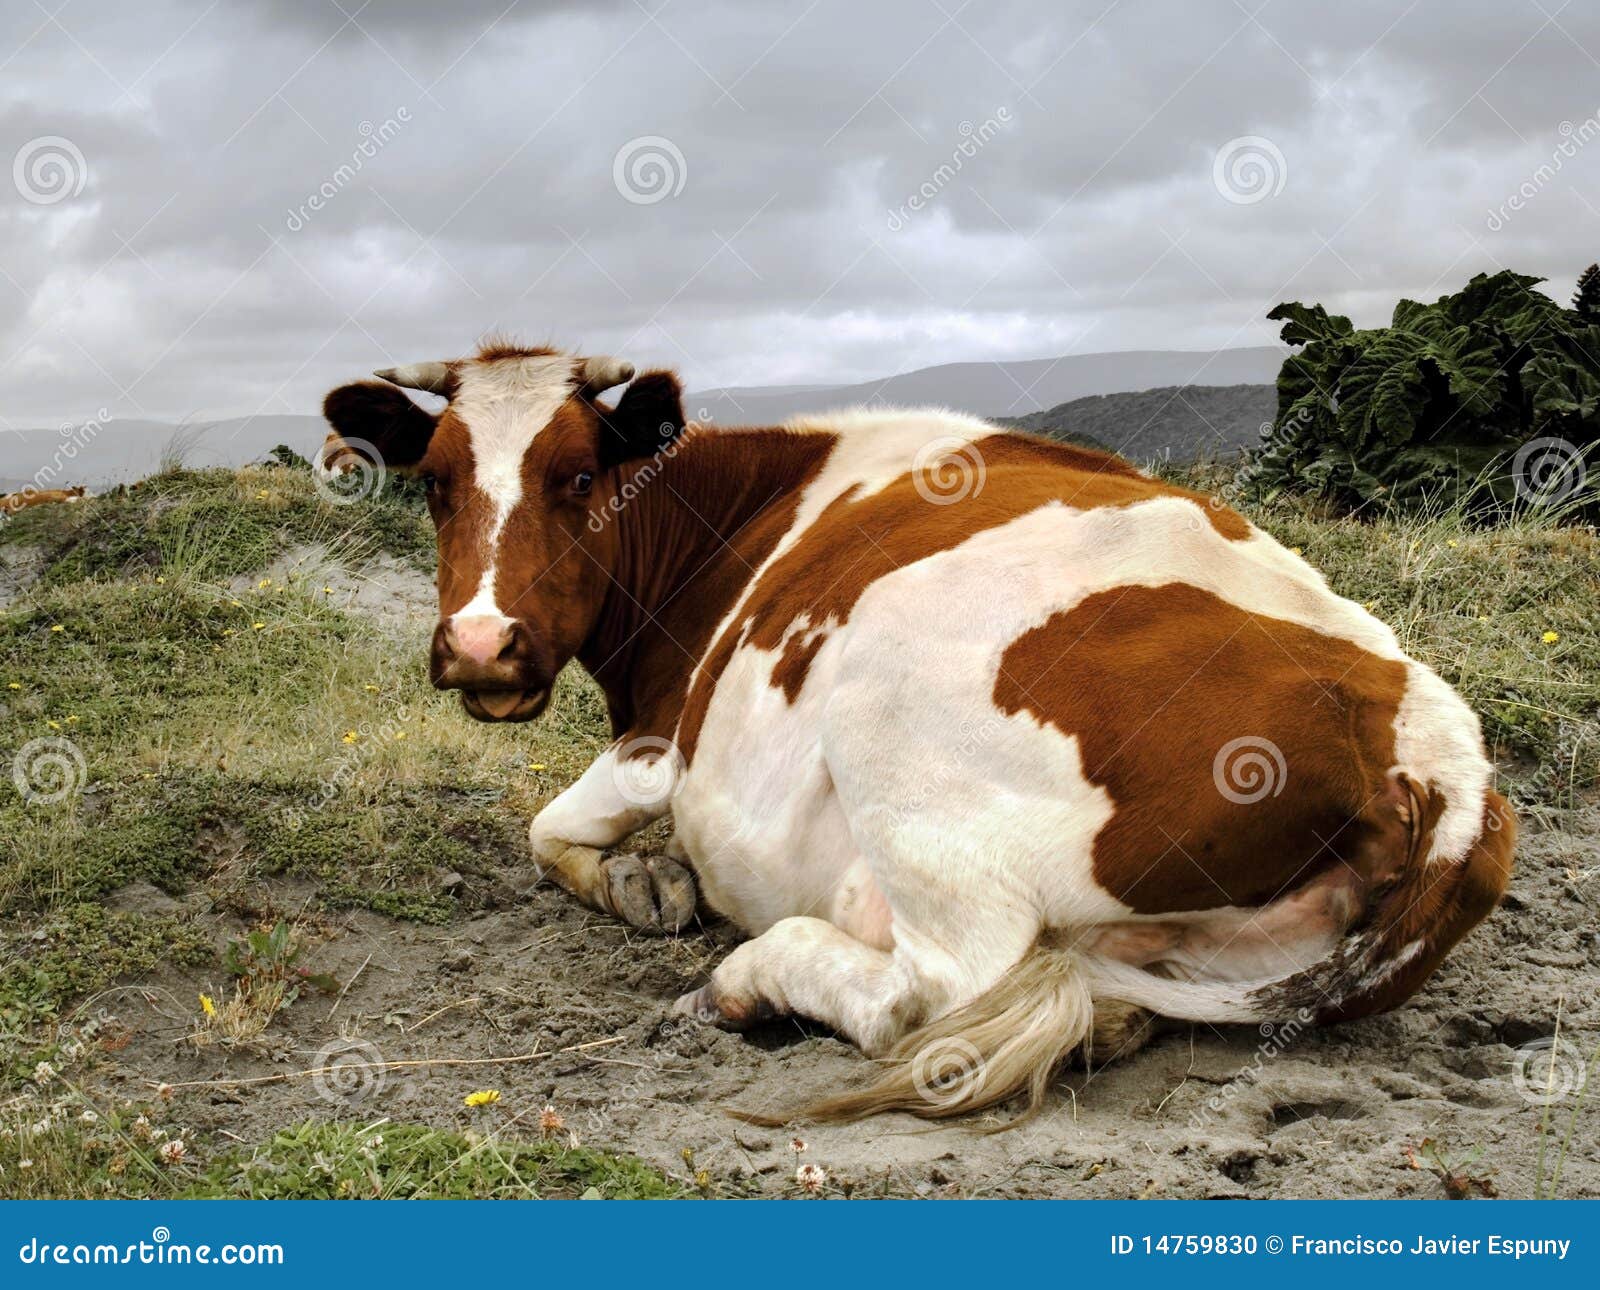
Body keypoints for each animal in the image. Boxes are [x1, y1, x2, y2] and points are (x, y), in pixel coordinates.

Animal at [320, 343, 1515, 1122]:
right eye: (434, 484)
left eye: (576, 476)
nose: (482, 647)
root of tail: (1426, 746)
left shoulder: (663, 745)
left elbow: (549, 824)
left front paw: (640, 880)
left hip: (887, 708)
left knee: (932, 991)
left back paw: (747, 977)